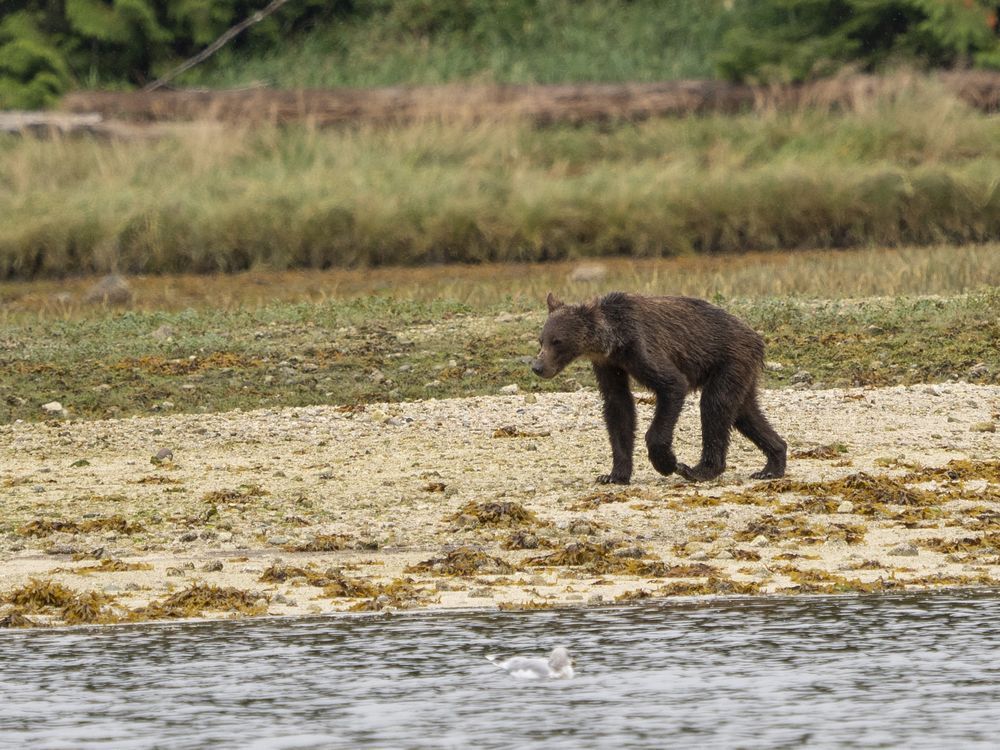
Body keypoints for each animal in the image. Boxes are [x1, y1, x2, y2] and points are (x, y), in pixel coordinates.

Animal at [531, 291, 786, 484]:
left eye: (557, 341)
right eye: (541, 340)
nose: (537, 366)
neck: (613, 341)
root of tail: (756, 337)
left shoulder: (641, 348)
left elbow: (672, 385)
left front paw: (666, 463)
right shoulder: (608, 364)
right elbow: (618, 407)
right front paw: (614, 475)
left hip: (729, 359)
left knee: (715, 405)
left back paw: (699, 470)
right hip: (741, 371)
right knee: (744, 412)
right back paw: (772, 464)